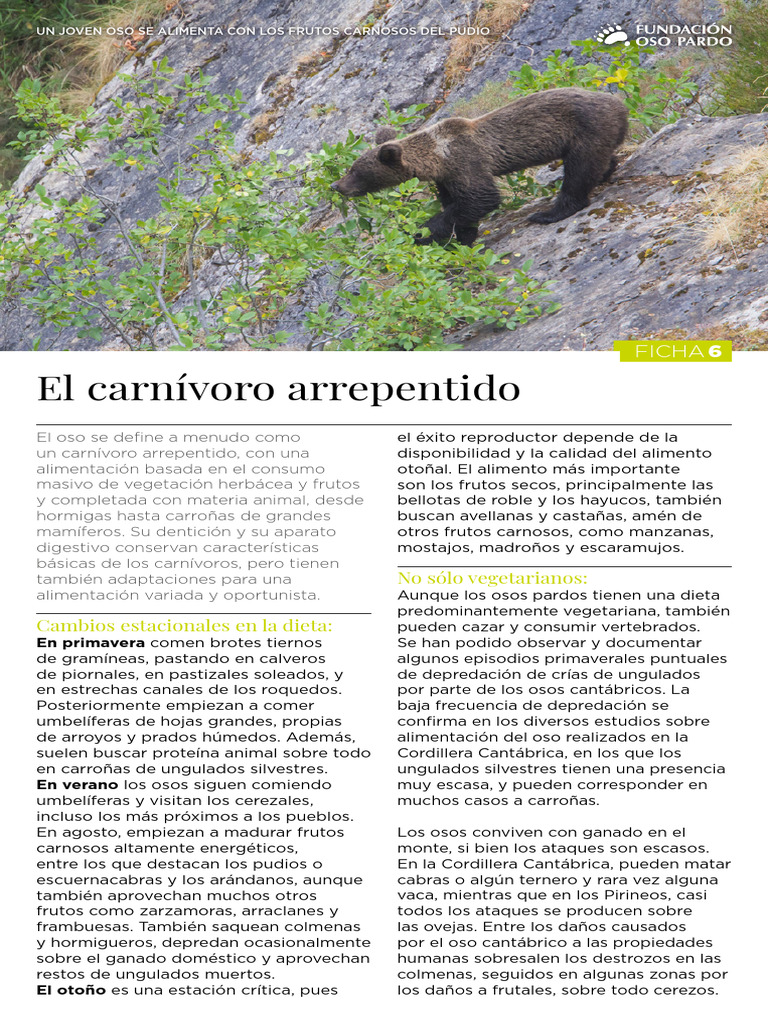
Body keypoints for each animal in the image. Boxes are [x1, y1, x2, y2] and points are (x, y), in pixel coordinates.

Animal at [330, 87, 628, 245]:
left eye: (356, 170)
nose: (336, 185)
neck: (437, 156)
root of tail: (619, 103)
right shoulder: (446, 177)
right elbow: (460, 206)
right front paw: (461, 237)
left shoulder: (466, 161)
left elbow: (481, 198)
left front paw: (421, 231)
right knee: (597, 162)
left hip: (585, 128)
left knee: (579, 171)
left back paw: (549, 213)